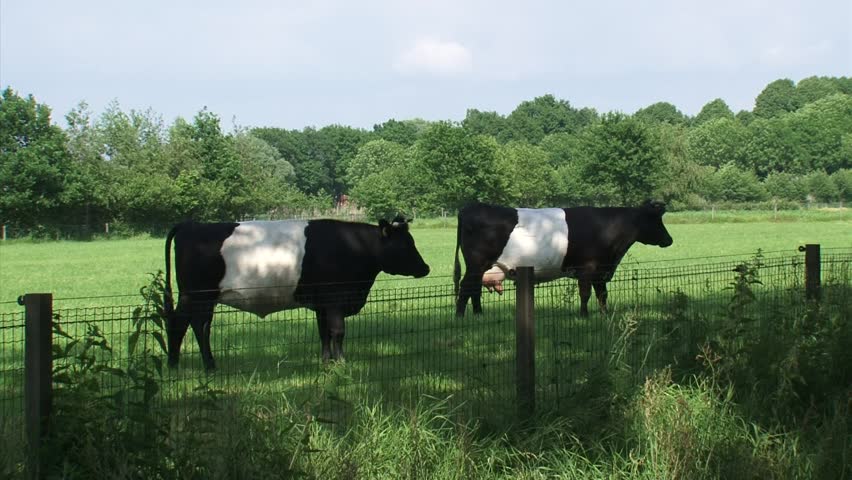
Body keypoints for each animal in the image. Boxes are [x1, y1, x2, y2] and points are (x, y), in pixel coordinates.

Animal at [164, 217, 430, 370]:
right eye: (406, 244)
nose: (426, 268)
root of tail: (190, 225)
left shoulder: (321, 304)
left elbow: (324, 332)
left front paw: (326, 362)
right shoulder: (335, 298)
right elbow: (338, 332)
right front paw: (341, 363)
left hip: (191, 296)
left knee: (181, 323)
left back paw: (174, 363)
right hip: (200, 296)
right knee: (199, 326)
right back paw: (208, 365)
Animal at [454, 201, 673, 317]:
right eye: (656, 220)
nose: (669, 240)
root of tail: (469, 207)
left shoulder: (601, 271)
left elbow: (602, 294)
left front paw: (604, 315)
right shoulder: (588, 268)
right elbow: (585, 293)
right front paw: (584, 316)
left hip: (483, 267)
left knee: (474, 289)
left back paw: (478, 314)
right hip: (476, 264)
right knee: (466, 288)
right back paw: (461, 317)